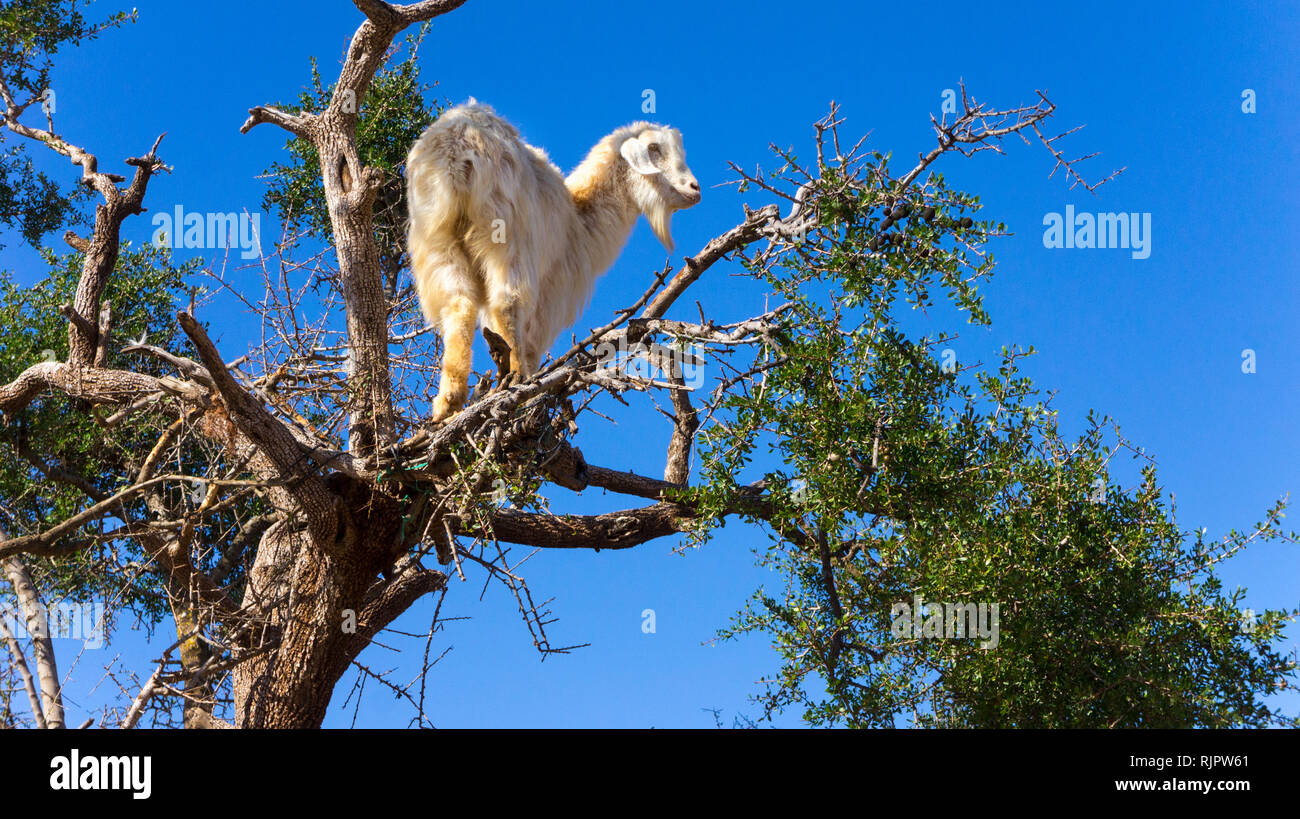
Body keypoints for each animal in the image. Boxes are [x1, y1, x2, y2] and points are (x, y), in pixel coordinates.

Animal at [405, 101, 701, 421]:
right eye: (653, 148)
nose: (694, 188)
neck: (577, 217)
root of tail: (459, 142)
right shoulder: (550, 299)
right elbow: (531, 342)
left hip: (437, 236)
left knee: (458, 304)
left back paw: (448, 403)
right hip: (506, 234)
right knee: (506, 303)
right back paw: (516, 383)